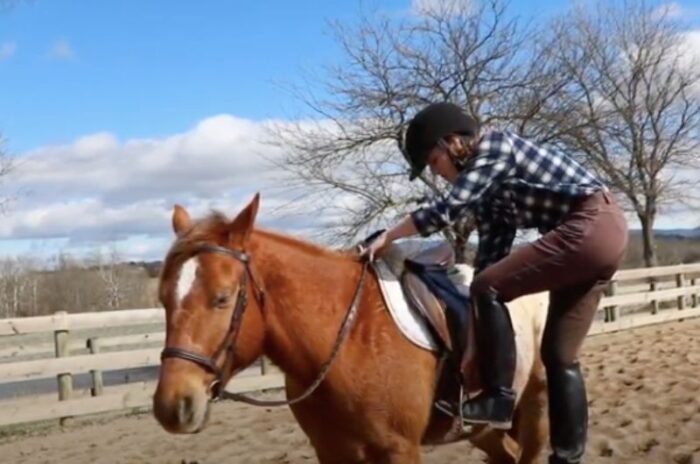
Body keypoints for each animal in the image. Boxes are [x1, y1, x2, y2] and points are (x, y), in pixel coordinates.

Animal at [153, 193, 550, 463]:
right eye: (163, 299)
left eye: (222, 298)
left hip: (535, 407)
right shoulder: (333, 452)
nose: (173, 406)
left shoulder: (400, 450)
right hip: (483, 431)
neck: (348, 340)